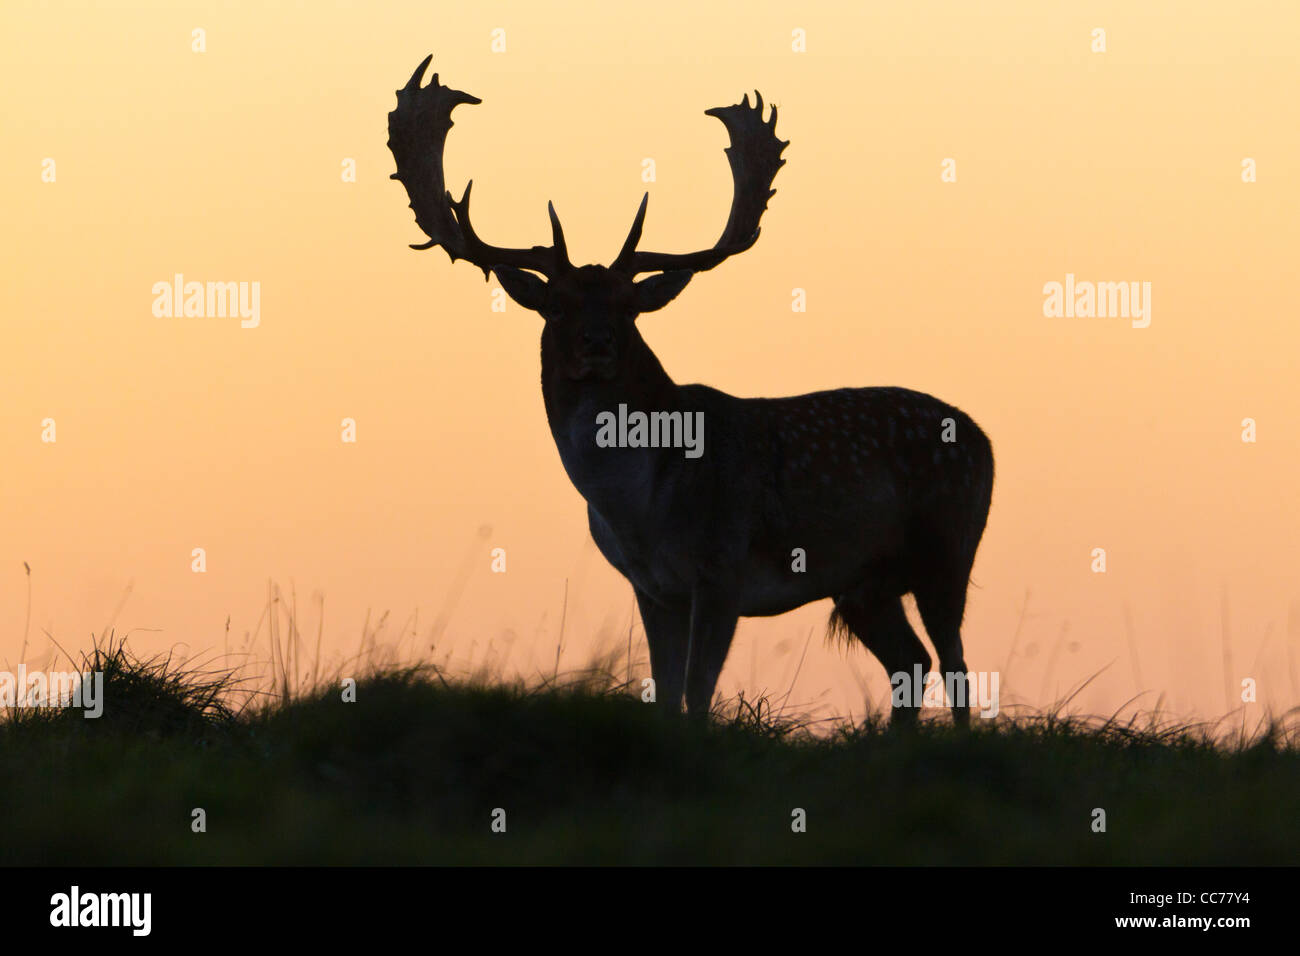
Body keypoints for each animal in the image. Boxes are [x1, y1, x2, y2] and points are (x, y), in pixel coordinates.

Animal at [388, 55, 994, 725]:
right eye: (558, 304)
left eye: (628, 308)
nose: (597, 343)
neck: (640, 507)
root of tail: (984, 438)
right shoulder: (652, 587)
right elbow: (666, 692)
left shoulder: (723, 568)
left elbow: (699, 695)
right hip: (864, 583)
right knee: (909, 662)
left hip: (949, 544)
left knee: (955, 662)